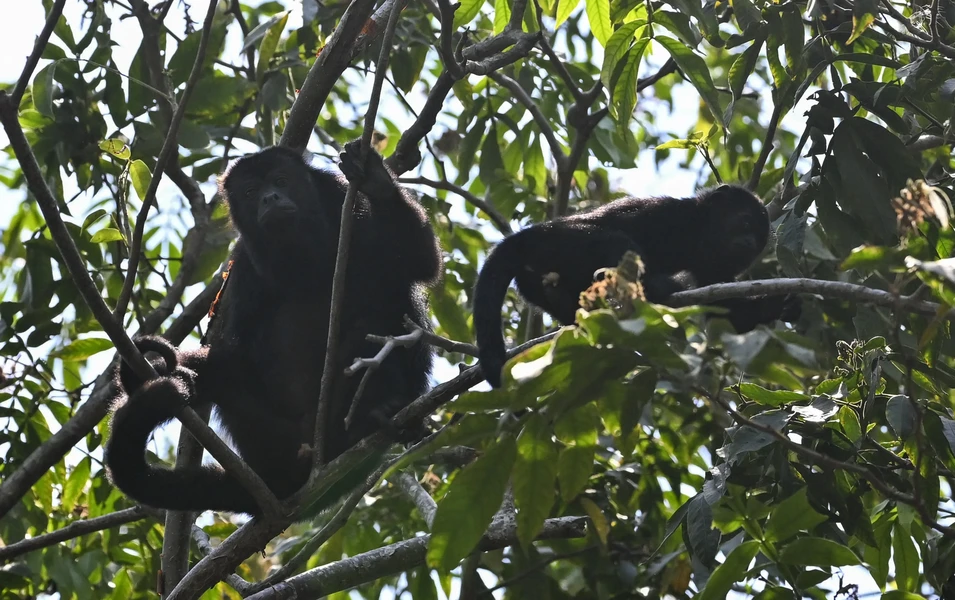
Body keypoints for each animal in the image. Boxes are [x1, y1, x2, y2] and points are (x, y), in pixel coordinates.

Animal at [105, 141, 442, 516]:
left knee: (389, 306)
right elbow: (233, 353)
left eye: (281, 181)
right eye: (251, 192)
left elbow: (418, 263)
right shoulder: (242, 267)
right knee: (223, 372)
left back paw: (380, 409)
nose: (270, 198)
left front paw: (375, 179)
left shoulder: (344, 203)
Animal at [473, 184, 801, 388]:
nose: (748, 244)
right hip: (559, 241)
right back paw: (655, 287)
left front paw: (780, 305)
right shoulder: (667, 216)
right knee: (613, 240)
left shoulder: (712, 267)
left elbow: (725, 313)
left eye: (758, 241)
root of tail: (525, 238)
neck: (697, 233)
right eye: (744, 223)